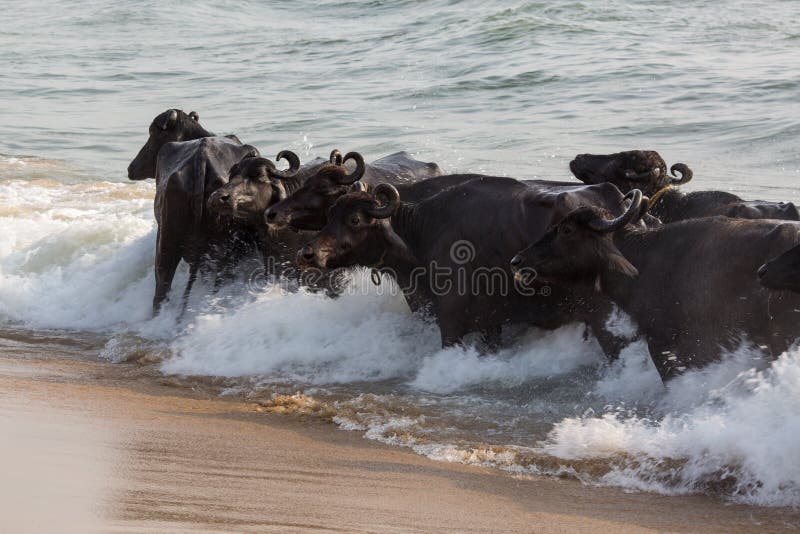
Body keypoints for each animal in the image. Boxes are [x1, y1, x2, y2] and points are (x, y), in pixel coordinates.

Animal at [297, 176, 639, 354]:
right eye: (329, 215)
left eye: (354, 220)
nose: (308, 254)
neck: (423, 235)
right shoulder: (490, 324)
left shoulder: (451, 323)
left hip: (605, 324)